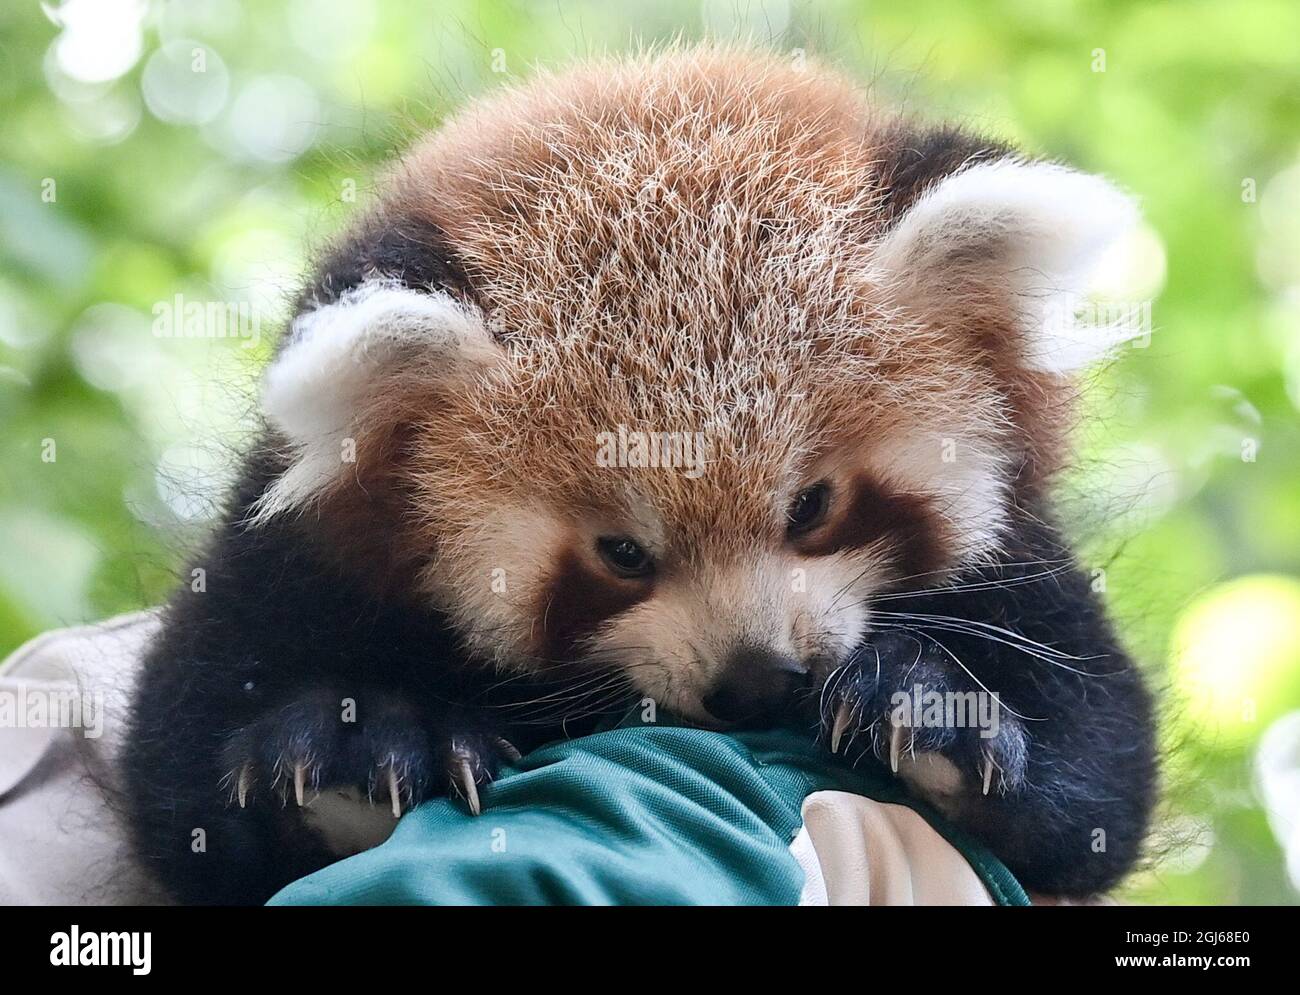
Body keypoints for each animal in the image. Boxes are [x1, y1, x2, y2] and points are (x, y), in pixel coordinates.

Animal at [122, 46, 1158, 905]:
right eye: (621, 553)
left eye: (813, 505)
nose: (756, 682)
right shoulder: (294, 551)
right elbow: (183, 790)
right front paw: (360, 739)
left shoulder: (1020, 555)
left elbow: (1102, 777)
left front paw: (931, 705)